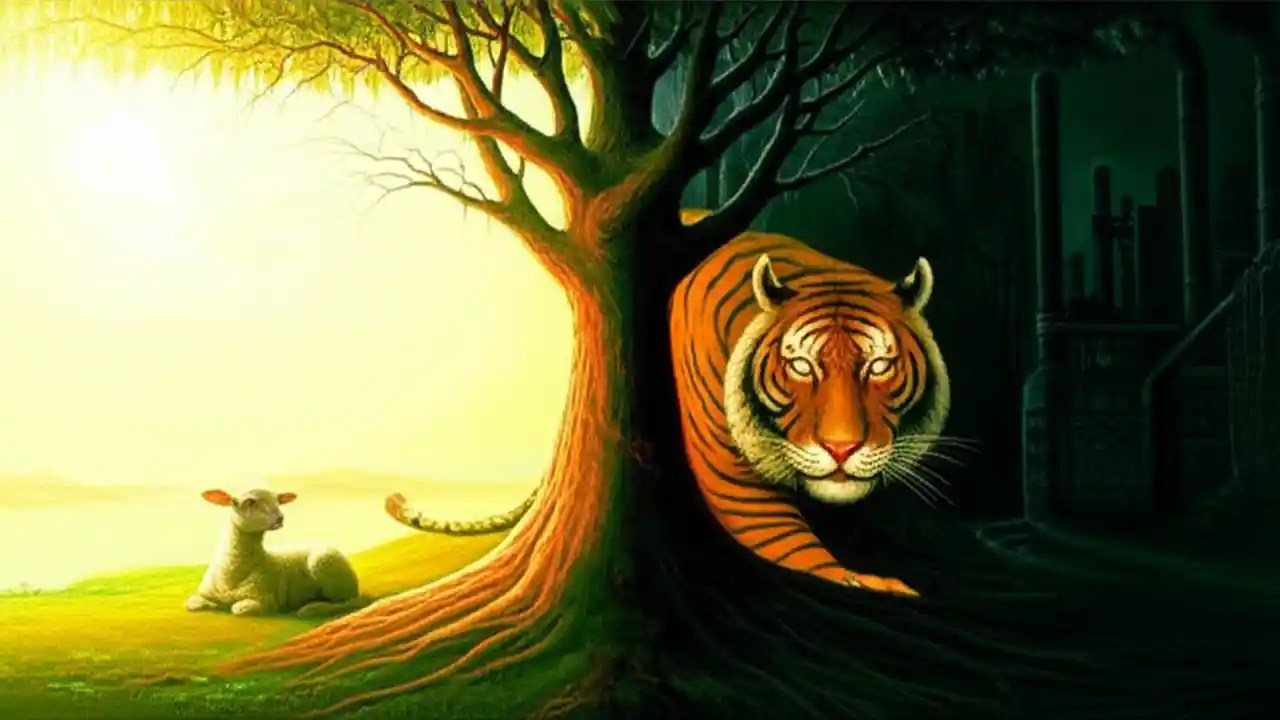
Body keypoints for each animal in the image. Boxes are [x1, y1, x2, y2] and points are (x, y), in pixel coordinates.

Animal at [184, 488, 364, 618]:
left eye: (277, 501)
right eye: (249, 502)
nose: (280, 518)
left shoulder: (265, 601)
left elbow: (238, 608)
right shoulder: (203, 594)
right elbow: (192, 603)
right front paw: (210, 604)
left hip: (326, 569)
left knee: (350, 602)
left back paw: (310, 608)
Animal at [668, 214, 950, 597]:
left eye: (878, 366)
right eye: (802, 366)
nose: (841, 448)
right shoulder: (741, 490)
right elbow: (804, 556)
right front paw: (873, 583)